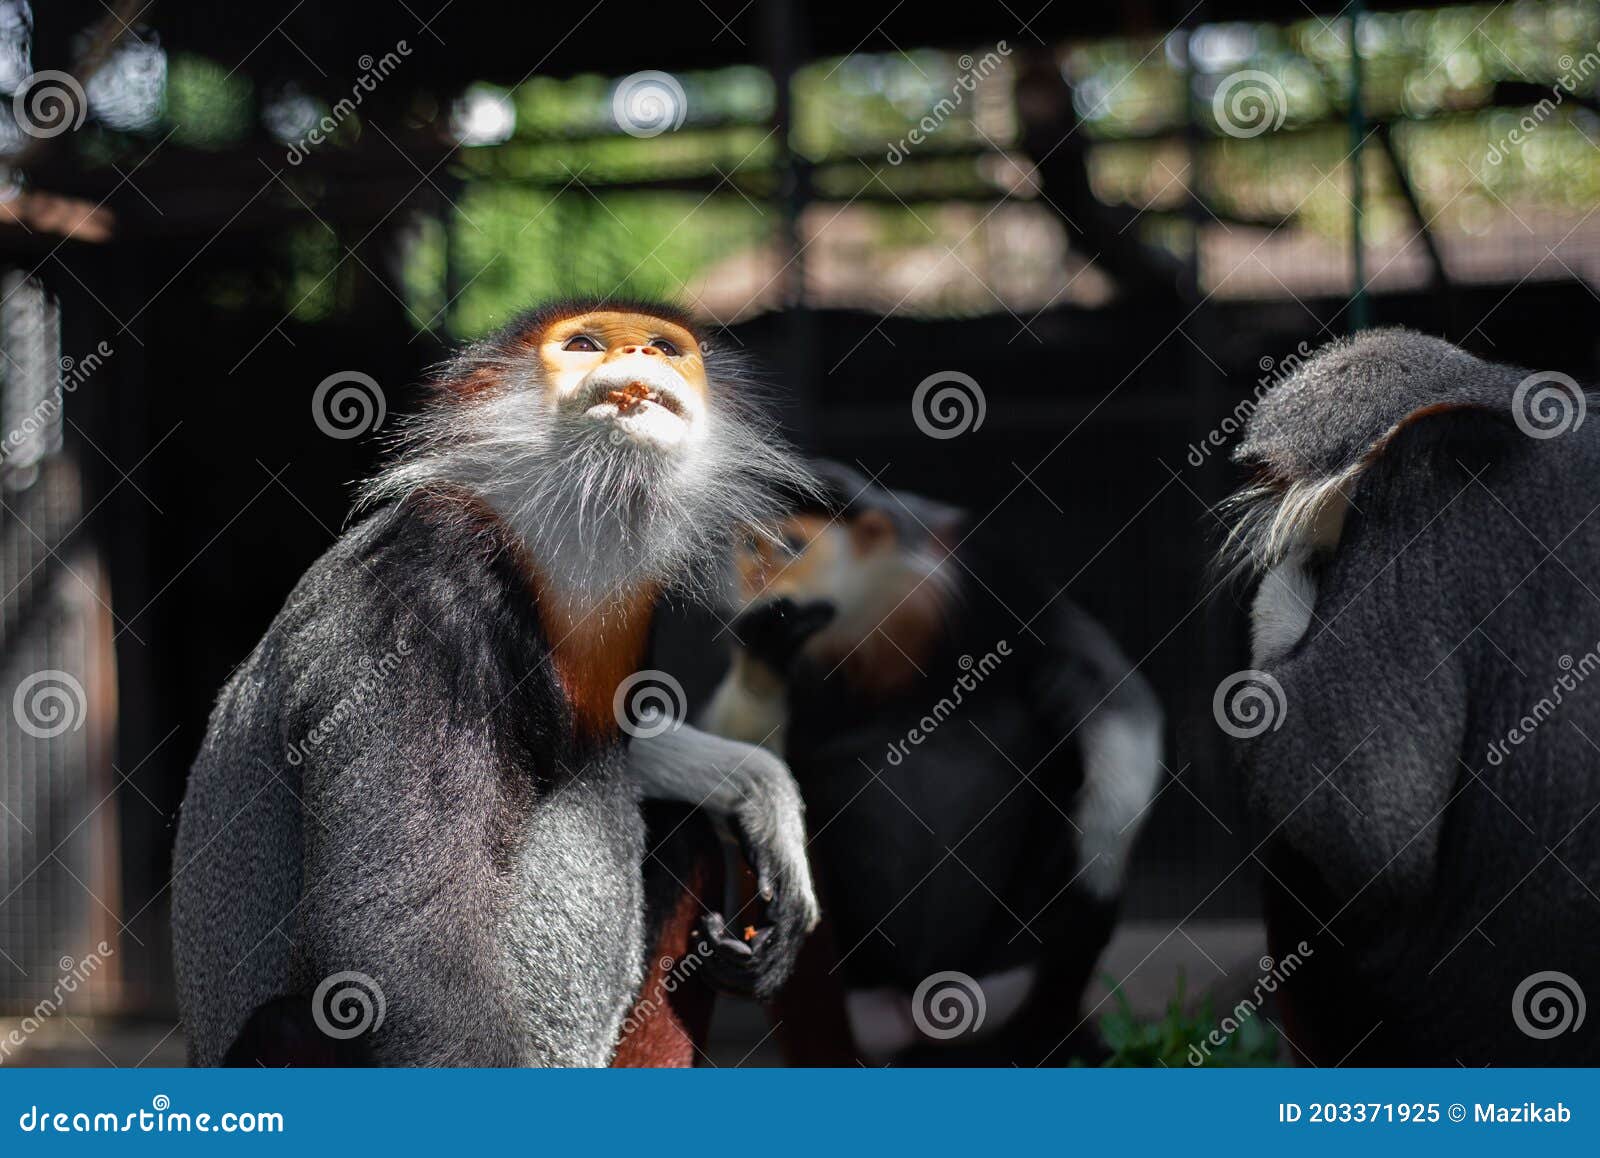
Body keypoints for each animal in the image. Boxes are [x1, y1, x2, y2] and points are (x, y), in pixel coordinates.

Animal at [171, 298, 821, 1067]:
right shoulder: (419, 595)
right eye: (583, 344)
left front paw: (761, 790)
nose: (639, 354)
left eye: (666, 348)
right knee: (288, 1022)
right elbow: (402, 936)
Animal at [700, 462, 1164, 1064]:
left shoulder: (982, 567)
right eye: (749, 548)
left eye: (790, 547)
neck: (874, 611)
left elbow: (1109, 691)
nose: (755, 587)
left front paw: (1088, 872)